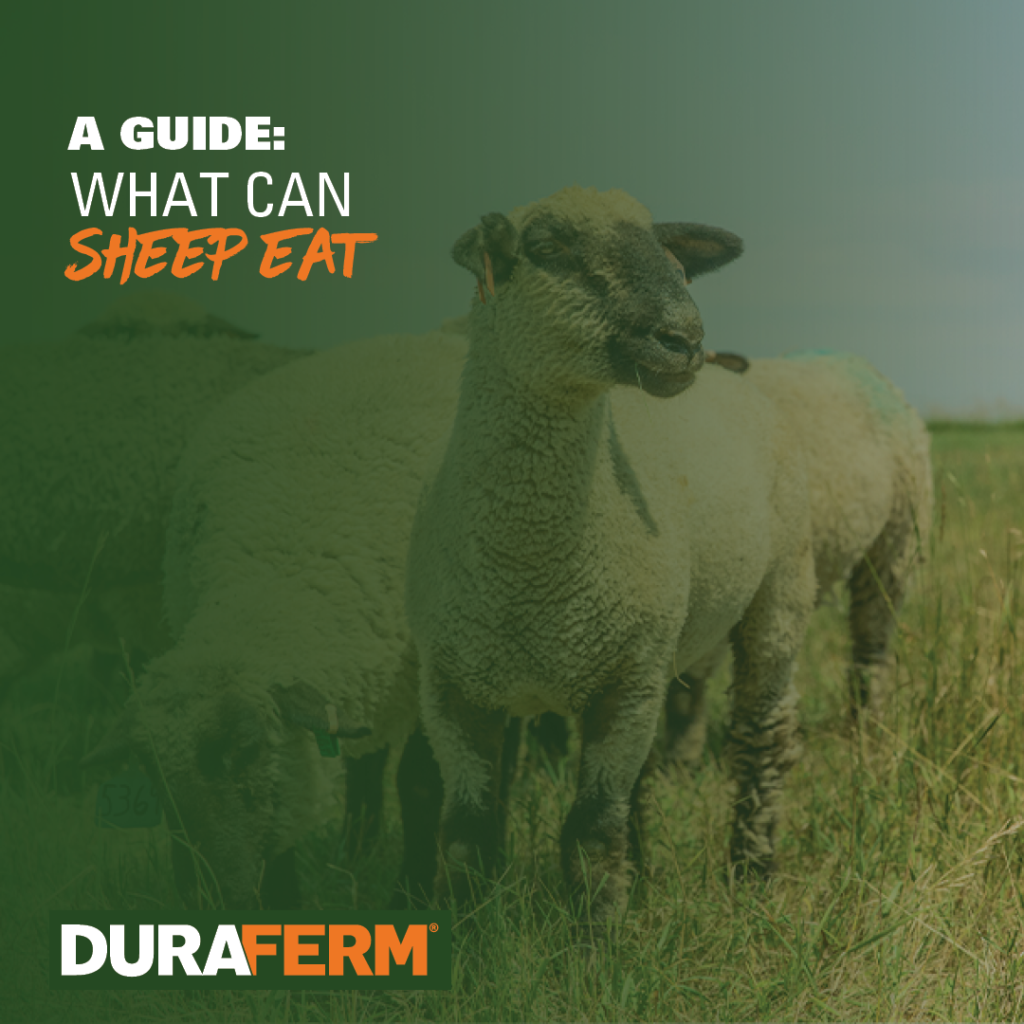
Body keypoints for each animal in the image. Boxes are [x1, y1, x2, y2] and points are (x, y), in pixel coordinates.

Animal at [81, 329, 467, 909]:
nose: (206, 899)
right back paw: (354, 850)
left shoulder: (429, 662)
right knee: (364, 757)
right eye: (152, 773)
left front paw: (412, 898)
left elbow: (422, 782)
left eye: (247, 749)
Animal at [405, 186, 932, 925]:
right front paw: (464, 940)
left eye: (667, 252)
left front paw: (599, 941)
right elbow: (466, 834)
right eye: (546, 248)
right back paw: (656, 867)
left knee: (774, 724)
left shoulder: (623, 683)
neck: (532, 564)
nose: (684, 339)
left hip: (819, 574)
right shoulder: (454, 689)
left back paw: (754, 870)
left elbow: (592, 829)